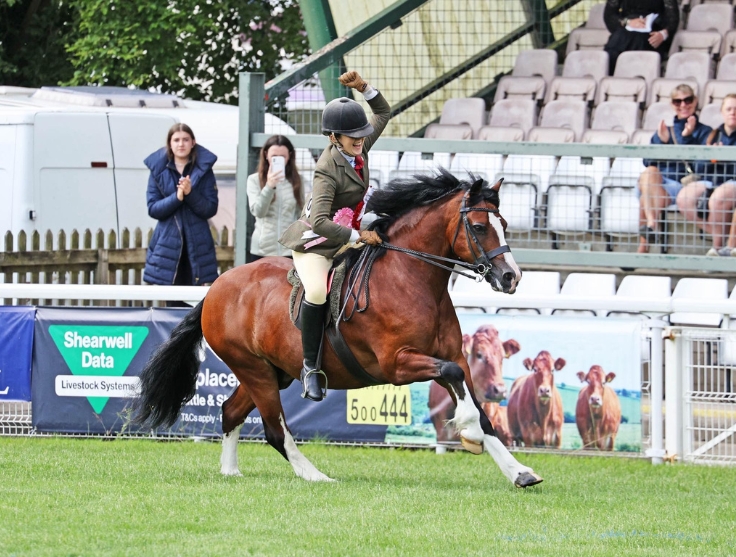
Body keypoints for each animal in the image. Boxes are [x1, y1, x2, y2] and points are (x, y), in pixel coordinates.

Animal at [133, 170, 544, 488]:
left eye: (504, 225)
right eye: (479, 227)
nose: (511, 277)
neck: (412, 279)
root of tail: (216, 289)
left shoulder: (451, 355)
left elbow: (480, 408)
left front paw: (519, 472)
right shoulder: (398, 364)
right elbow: (458, 383)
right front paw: (469, 434)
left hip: (271, 371)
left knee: (230, 411)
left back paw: (230, 471)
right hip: (253, 369)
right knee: (275, 430)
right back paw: (316, 476)